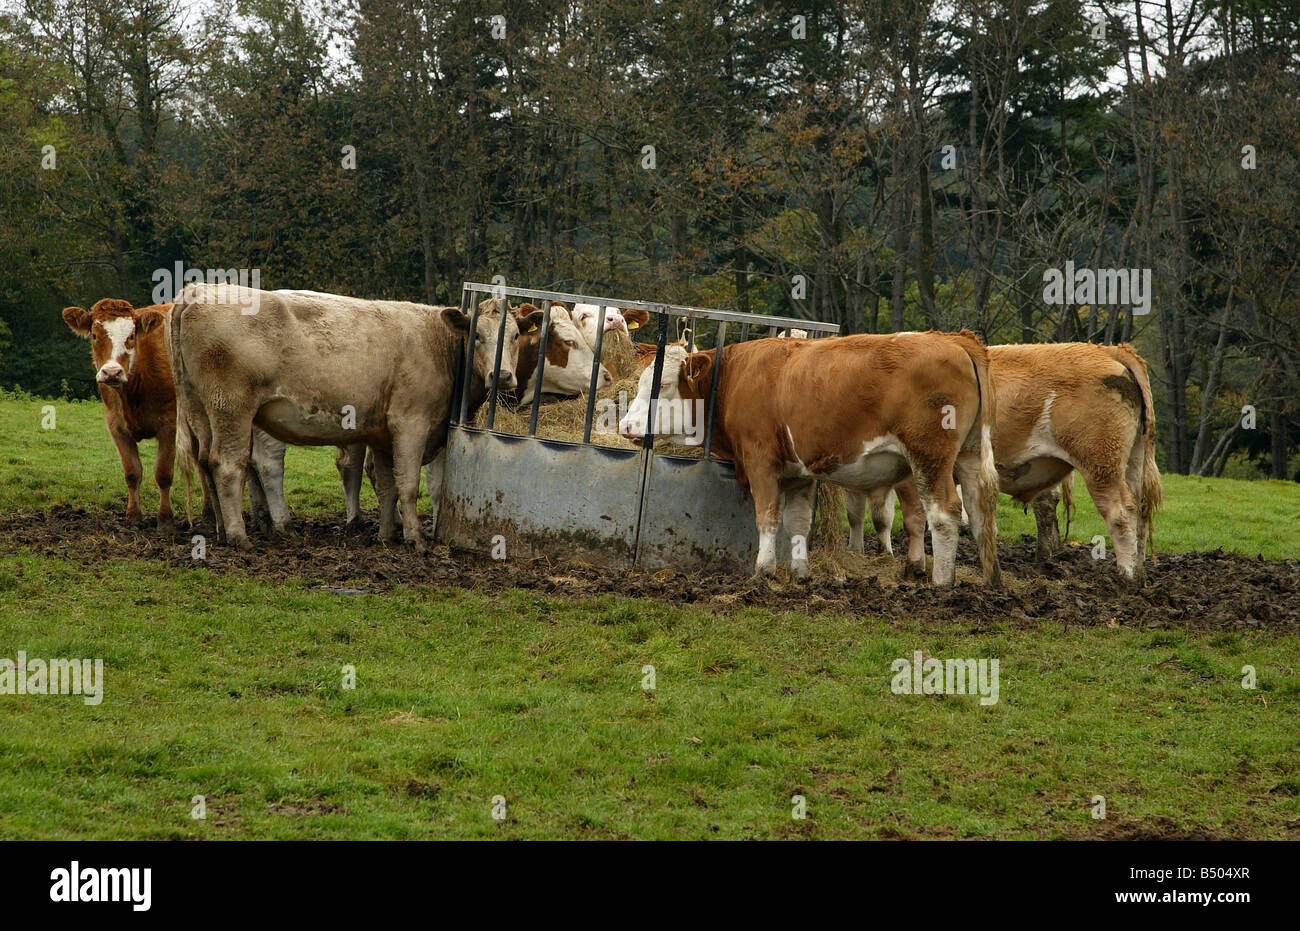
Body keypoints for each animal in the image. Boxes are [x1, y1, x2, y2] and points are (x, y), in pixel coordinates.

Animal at [169, 285, 520, 552]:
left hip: (200, 408)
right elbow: (408, 484)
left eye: (515, 336)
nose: (502, 376)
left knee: (205, 461)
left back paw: (220, 529)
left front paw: (386, 535)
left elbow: (388, 485)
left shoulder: (383, 433)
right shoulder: (411, 423)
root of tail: (198, 291)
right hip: (231, 408)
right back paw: (239, 536)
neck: (437, 345)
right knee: (229, 464)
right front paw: (416, 539)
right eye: (477, 336)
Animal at [617, 332, 1002, 587]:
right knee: (979, 510)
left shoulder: (761, 462)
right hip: (969, 455)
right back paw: (989, 580)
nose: (625, 426)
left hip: (929, 456)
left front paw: (763, 570)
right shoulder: (798, 474)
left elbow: (768, 517)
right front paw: (800, 572)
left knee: (944, 513)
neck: (735, 378)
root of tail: (955, 339)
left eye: (663, 385)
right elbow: (798, 522)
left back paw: (941, 581)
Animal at [847, 342, 1161, 584]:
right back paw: (1138, 569)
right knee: (1139, 512)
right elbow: (858, 513)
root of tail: (1110, 350)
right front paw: (857, 552)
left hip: (1100, 462)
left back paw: (1127, 576)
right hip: (1131, 462)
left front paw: (910, 565)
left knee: (1120, 512)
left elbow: (907, 519)